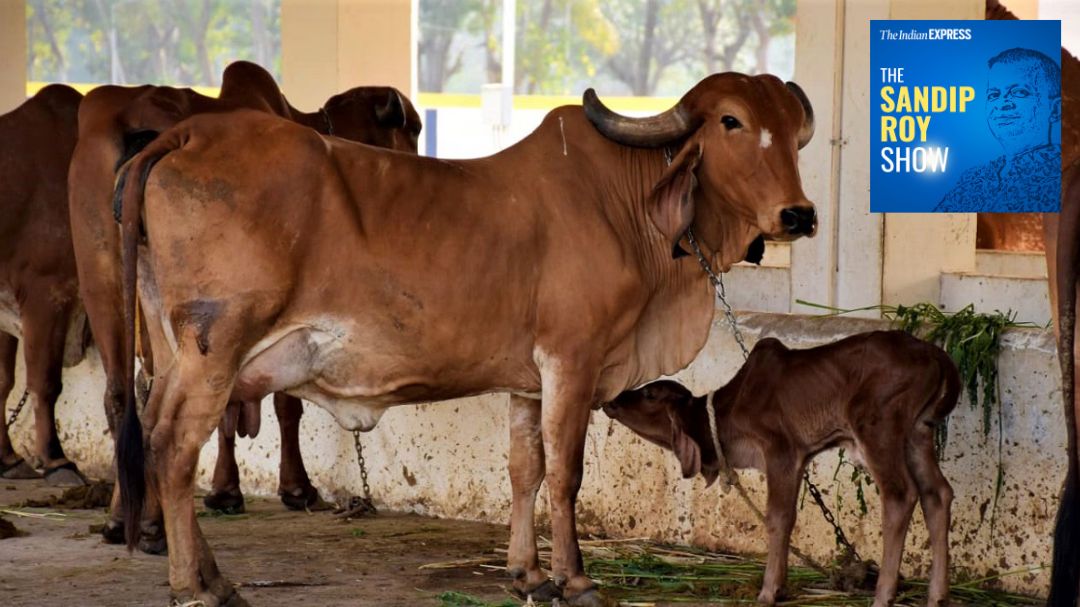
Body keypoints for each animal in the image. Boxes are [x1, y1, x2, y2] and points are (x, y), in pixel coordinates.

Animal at [67, 60, 421, 548]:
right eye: (413, 131)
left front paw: (224, 490)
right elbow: (282, 405)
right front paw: (289, 487)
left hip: (103, 274)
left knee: (123, 395)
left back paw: (125, 520)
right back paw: (155, 526)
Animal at [112, 72, 816, 606]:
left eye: (792, 129)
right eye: (731, 121)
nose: (799, 214)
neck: (627, 207)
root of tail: (188, 132)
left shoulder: (529, 382)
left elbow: (525, 470)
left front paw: (528, 574)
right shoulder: (573, 360)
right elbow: (565, 473)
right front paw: (576, 579)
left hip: (175, 352)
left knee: (152, 427)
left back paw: (210, 576)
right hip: (216, 348)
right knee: (174, 446)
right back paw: (193, 586)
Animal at [603, 331, 960, 607]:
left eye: (650, 394)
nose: (613, 399)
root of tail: (935, 354)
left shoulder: (780, 449)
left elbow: (778, 517)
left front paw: (768, 591)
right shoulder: (800, 457)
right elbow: (788, 518)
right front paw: (782, 586)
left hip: (878, 426)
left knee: (900, 495)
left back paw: (884, 595)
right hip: (917, 434)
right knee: (937, 493)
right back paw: (937, 595)